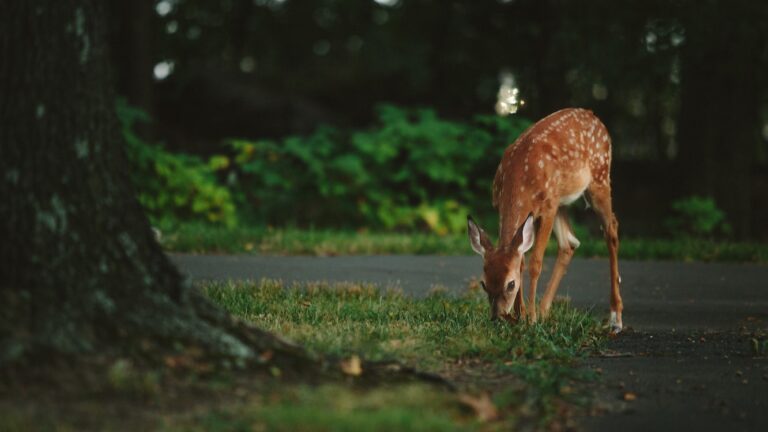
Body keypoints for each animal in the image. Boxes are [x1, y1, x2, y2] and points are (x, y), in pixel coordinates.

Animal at [467, 108, 623, 333]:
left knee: (611, 229)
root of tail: (593, 116)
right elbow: (521, 259)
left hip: (599, 177)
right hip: (562, 200)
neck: (519, 179)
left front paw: (530, 318)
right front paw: (521, 315)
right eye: (484, 284)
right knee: (570, 243)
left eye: (510, 284)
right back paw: (544, 310)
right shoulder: (505, 206)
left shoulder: (547, 208)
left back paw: (615, 318)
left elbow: (535, 263)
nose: (497, 317)